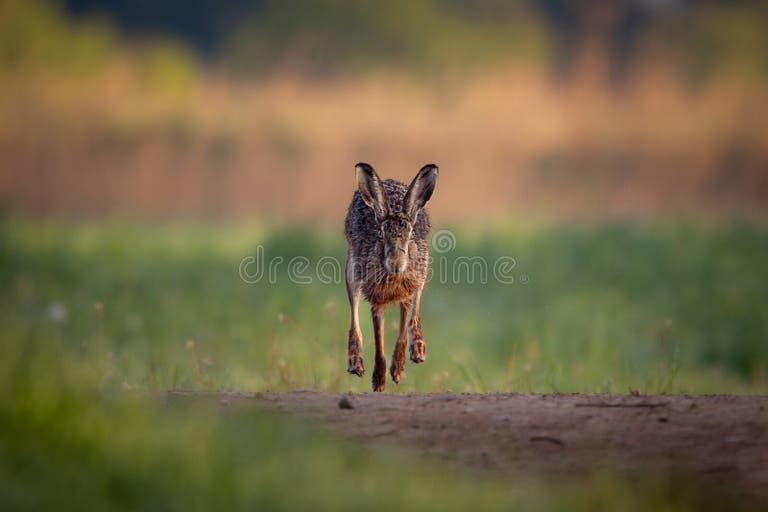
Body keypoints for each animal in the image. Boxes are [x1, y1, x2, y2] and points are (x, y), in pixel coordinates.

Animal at [344, 162, 439, 391]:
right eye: (380, 234)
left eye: (410, 234)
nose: (396, 263)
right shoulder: (376, 300)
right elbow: (379, 342)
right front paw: (379, 381)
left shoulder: (407, 295)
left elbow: (402, 331)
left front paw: (397, 370)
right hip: (352, 270)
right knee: (354, 312)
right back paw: (355, 361)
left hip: (423, 270)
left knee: (417, 310)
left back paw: (419, 349)